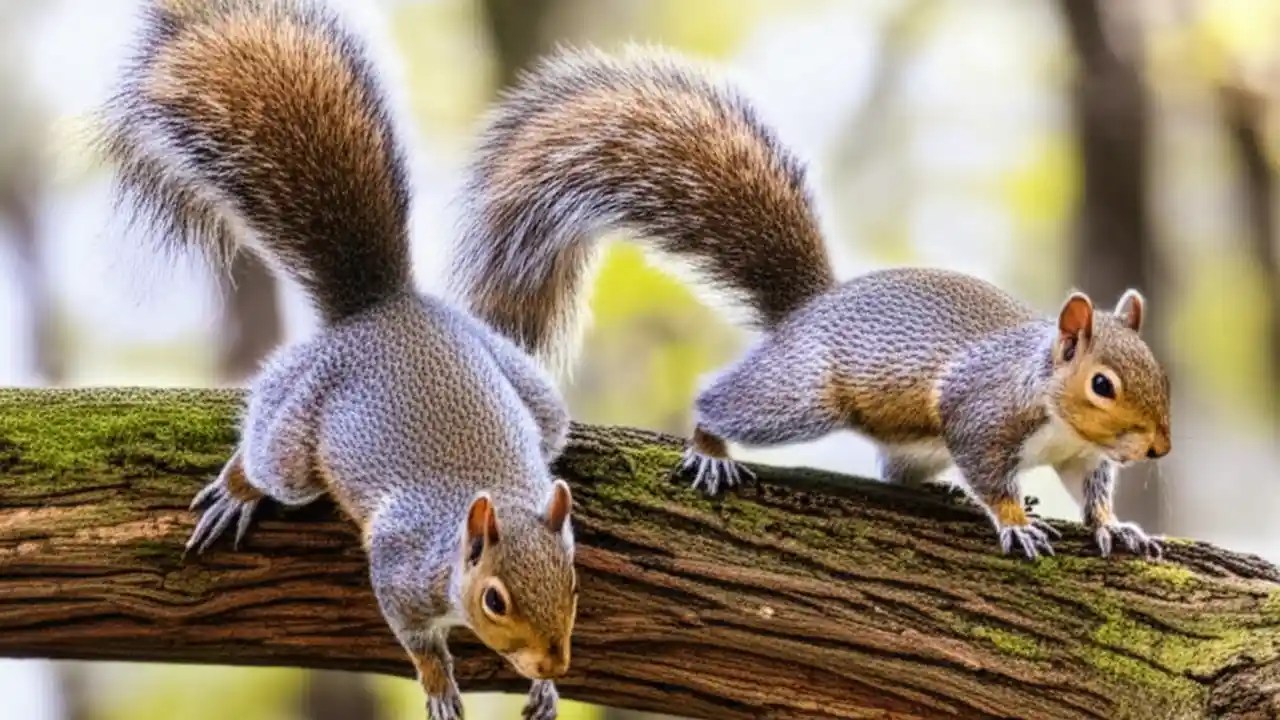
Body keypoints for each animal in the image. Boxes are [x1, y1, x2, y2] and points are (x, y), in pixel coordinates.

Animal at [98, 2, 578, 718]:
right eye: (495, 599)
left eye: (574, 582)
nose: (556, 661)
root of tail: (385, 308)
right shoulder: (399, 569)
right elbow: (415, 640)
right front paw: (440, 685)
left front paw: (543, 686)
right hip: (302, 430)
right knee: (266, 451)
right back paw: (238, 490)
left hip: (536, 404)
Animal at [447, 45, 1173, 561]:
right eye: (1102, 384)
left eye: (1159, 374)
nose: (1159, 449)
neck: (1053, 406)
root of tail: (808, 311)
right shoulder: (982, 413)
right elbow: (992, 477)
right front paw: (1016, 521)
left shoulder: (1082, 456)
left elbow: (1092, 493)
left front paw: (1116, 526)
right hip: (800, 396)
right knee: (723, 399)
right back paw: (711, 449)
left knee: (895, 468)